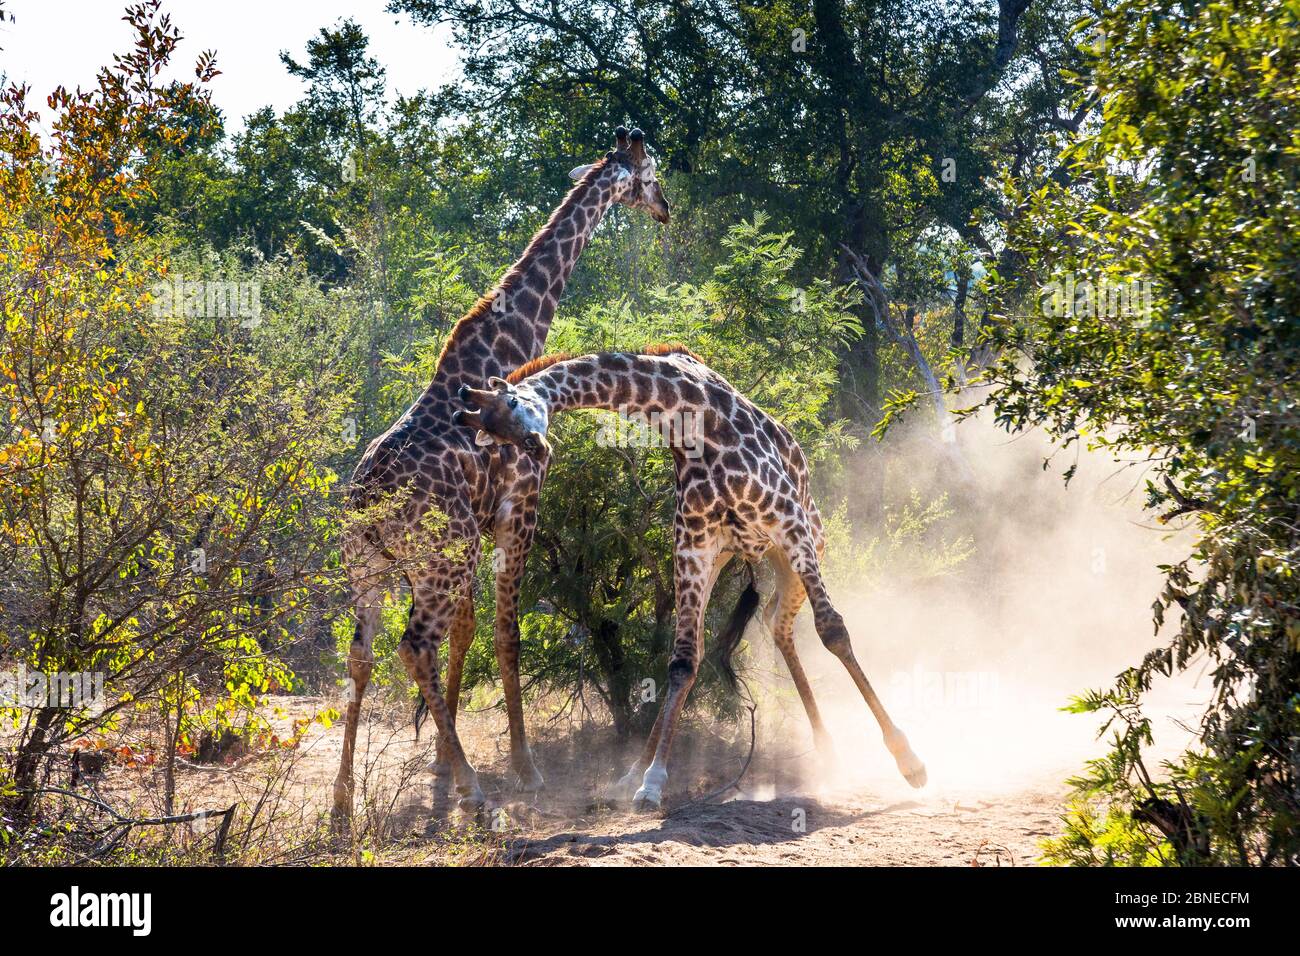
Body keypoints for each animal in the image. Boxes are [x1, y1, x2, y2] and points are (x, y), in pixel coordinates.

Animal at [333, 128, 670, 822]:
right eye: (651, 176)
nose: (666, 209)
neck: (510, 341)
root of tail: (369, 498)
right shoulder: (519, 507)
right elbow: (506, 634)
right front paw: (522, 767)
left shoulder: (482, 524)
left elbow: (466, 634)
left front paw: (440, 760)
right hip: (438, 557)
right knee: (413, 646)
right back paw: (476, 790)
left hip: (369, 566)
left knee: (362, 655)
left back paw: (343, 801)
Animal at [456, 345, 927, 810]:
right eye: (497, 435)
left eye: (512, 404)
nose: (536, 447)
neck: (692, 418)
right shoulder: (693, 547)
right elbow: (682, 660)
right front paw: (651, 781)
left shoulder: (789, 522)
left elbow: (833, 630)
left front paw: (909, 760)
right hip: (727, 558)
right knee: (766, 625)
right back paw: (634, 774)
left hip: (804, 544)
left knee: (786, 622)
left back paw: (835, 755)